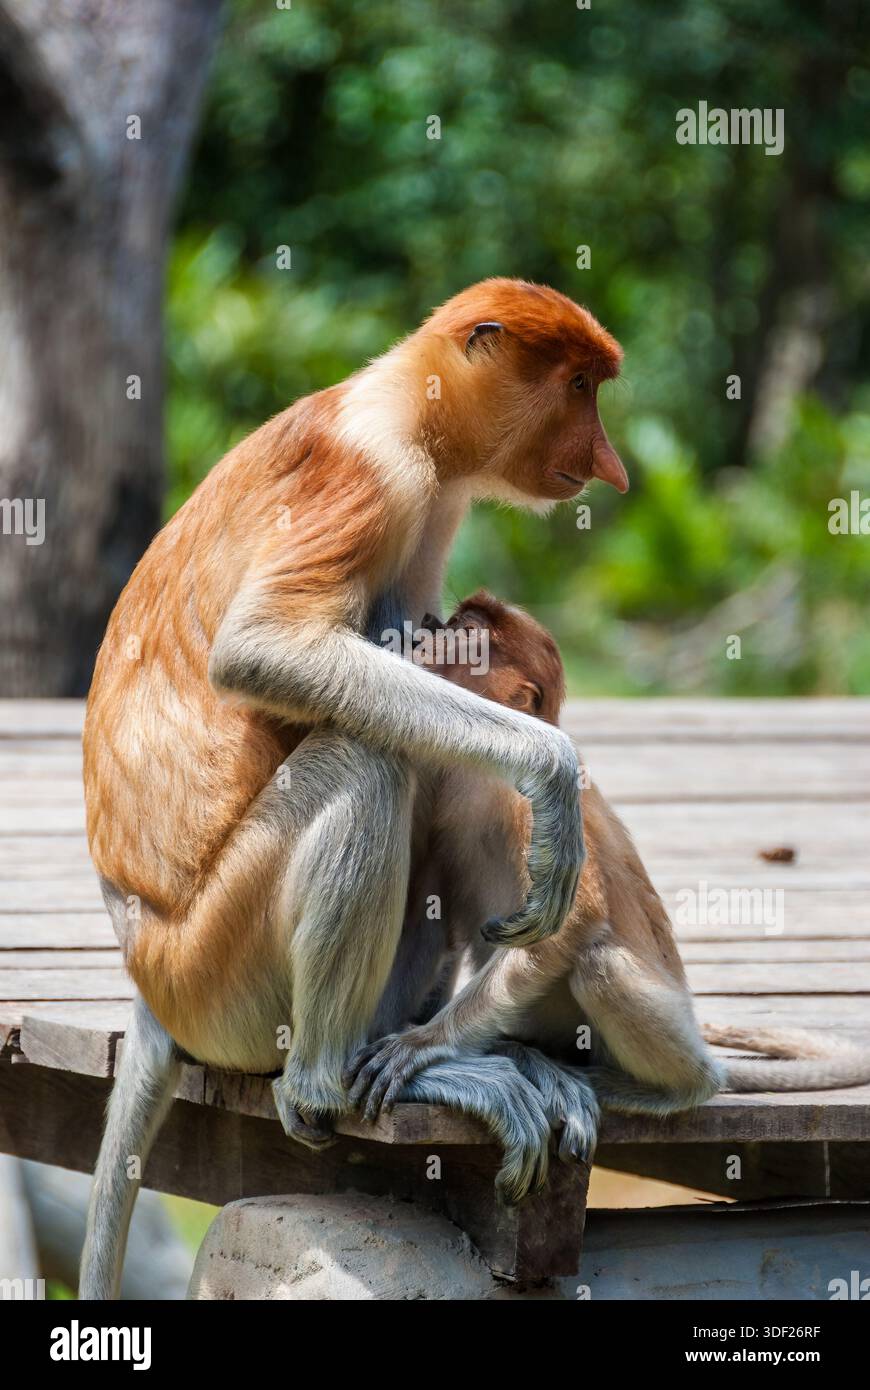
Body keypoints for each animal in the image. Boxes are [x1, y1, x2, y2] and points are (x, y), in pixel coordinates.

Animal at [78, 279, 627, 1297]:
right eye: (579, 386)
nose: (608, 466)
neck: (404, 406)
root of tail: (146, 978)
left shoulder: (434, 503)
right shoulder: (377, 481)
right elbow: (264, 650)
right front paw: (552, 776)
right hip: (214, 971)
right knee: (367, 766)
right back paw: (334, 1081)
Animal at [348, 590, 870, 1147]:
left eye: (463, 633)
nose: (426, 628)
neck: (483, 780)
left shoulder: (530, 800)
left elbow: (575, 918)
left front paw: (421, 1044)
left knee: (601, 966)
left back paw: (677, 1087)